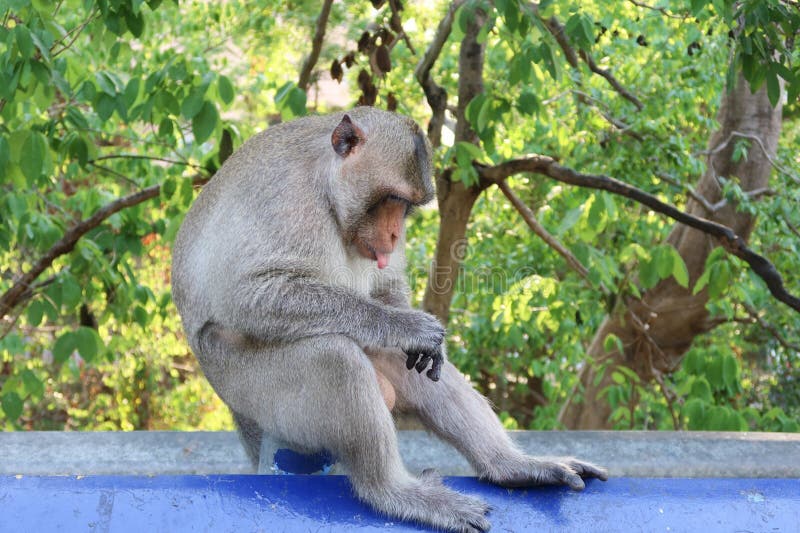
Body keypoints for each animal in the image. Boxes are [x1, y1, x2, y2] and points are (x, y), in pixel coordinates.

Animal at [171, 107, 607, 533]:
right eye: (392, 199)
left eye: (409, 206)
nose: (396, 234)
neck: (326, 187)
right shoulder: (287, 199)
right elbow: (248, 295)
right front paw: (408, 327)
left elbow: (387, 285)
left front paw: (415, 333)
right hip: (251, 389)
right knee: (336, 359)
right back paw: (394, 492)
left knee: (405, 365)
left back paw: (511, 467)